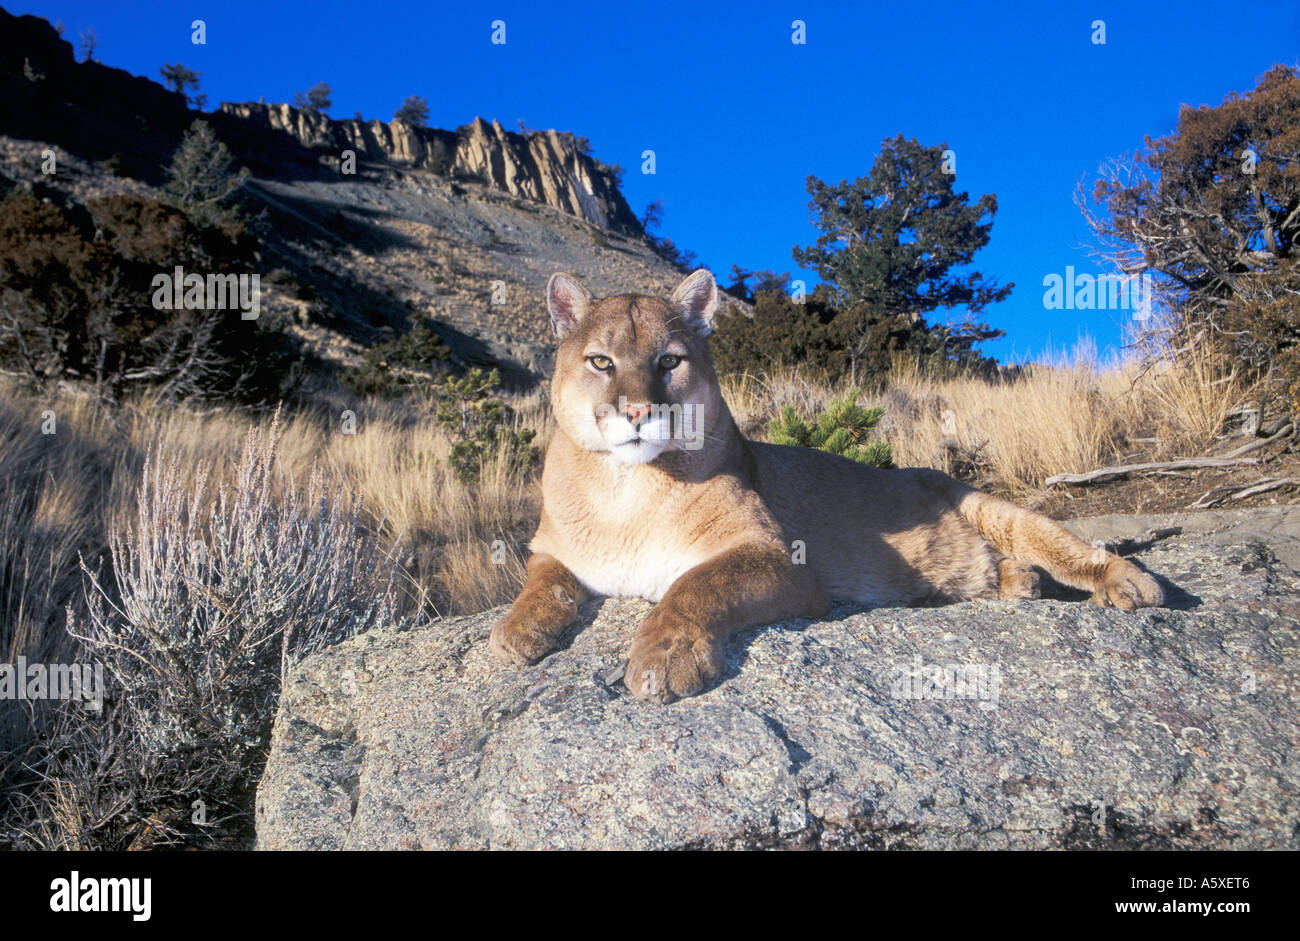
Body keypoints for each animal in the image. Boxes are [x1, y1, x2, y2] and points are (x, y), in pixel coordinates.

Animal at [490, 269, 1163, 703]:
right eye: (601, 362)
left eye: (670, 361)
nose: (637, 411)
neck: (624, 488)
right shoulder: (551, 549)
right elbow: (541, 583)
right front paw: (516, 632)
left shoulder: (776, 557)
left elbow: (694, 586)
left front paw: (664, 654)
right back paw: (1015, 581)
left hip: (996, 508)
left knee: (1071, 546)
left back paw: (1127, 584)